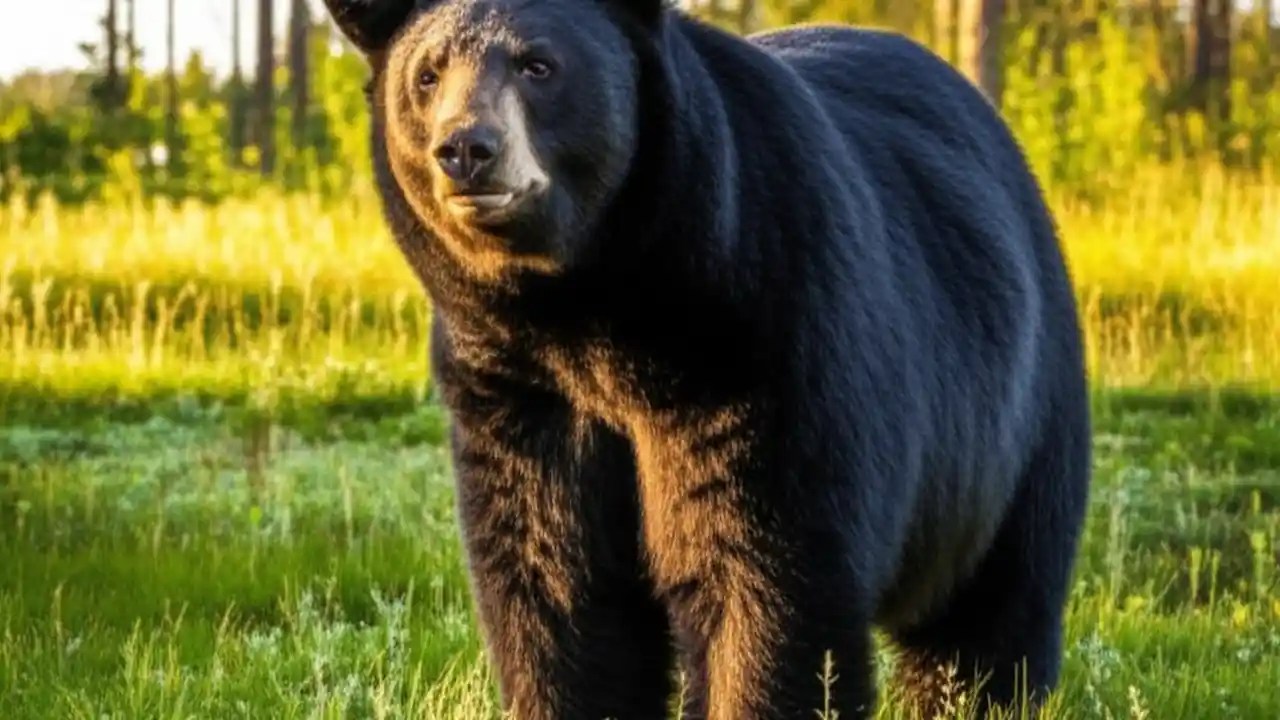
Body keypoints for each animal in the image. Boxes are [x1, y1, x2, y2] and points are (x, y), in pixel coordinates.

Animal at [321, 0, 1092, 718]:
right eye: (427, 74)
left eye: (538, 64)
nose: (466, 149)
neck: (594, 309)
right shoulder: (515, 385)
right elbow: (555, 578)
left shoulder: (760, 336)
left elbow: (759, 564)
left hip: (1017, 414)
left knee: (992, 616)